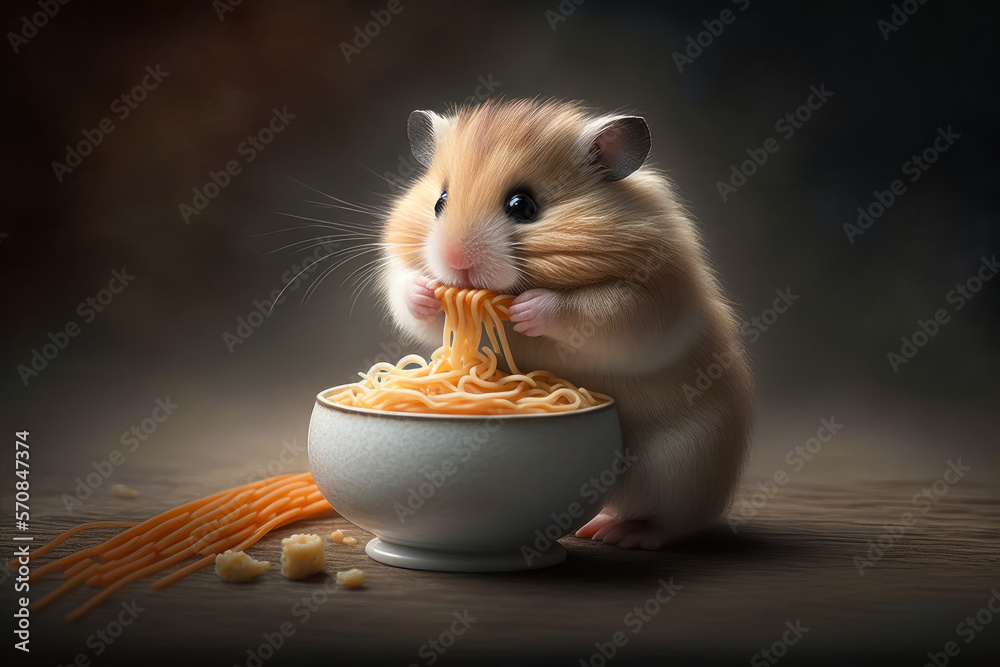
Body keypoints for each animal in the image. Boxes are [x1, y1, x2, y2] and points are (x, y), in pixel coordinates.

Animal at [378, 99, 753, 549]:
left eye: (522, 206)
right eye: (439, 202)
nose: (456, 263)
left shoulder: (648, 297)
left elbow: (588, 309)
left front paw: (527, 309)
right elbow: (407, 291)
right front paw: (426, 292)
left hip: (683, 467)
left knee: (675, 522)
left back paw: (619, 533)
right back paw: (591, 528)